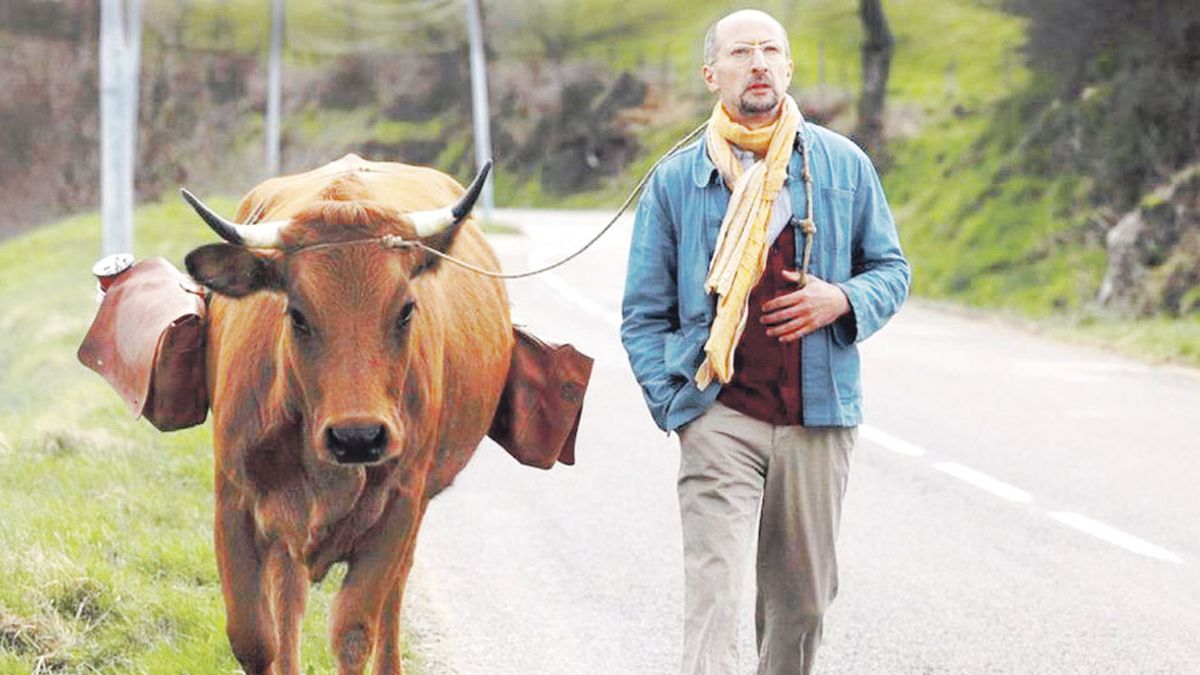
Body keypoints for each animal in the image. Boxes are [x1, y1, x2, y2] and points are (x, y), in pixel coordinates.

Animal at [180, 154, 512, 675]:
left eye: (406, 310)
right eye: (297, 315)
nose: (358, 437)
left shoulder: (400, 505)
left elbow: (353, 632)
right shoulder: (232, 501)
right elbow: (254, 638)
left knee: (393, 594)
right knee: (289, 600)